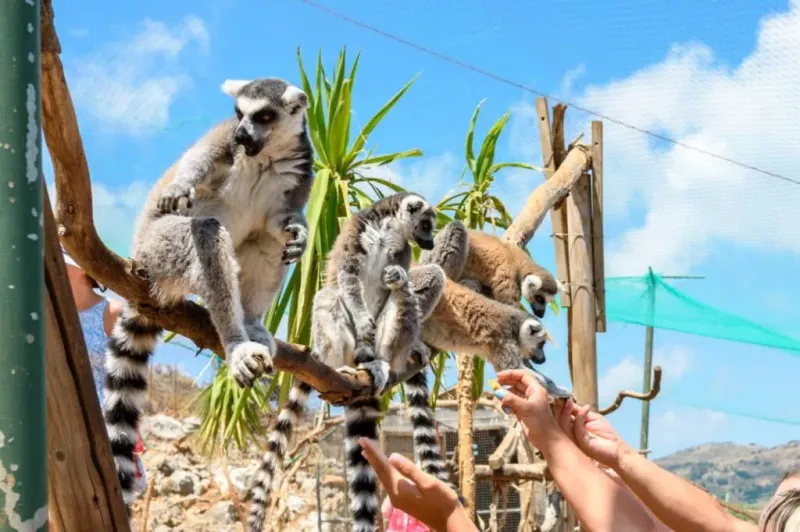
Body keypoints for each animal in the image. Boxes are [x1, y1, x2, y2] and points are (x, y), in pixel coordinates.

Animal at [102, 77, 313, 507]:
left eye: (264, 116)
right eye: (238, 114)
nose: (241, 135)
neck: (265, 155)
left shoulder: (299, 175)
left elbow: (279, 224)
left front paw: (299, 232)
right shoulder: (221, 142)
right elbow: (197, 161)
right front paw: (181, 185)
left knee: (266, 242)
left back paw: (252, 323)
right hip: (160, 250)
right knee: (207, 234)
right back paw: (236, 343)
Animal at [419, 220, 563, 318]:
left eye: (547, 301)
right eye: (539, 299)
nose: (541, 314)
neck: (521, 263)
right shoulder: (507, 276)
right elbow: (509, 307)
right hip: (433, 256)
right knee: (457, 227)